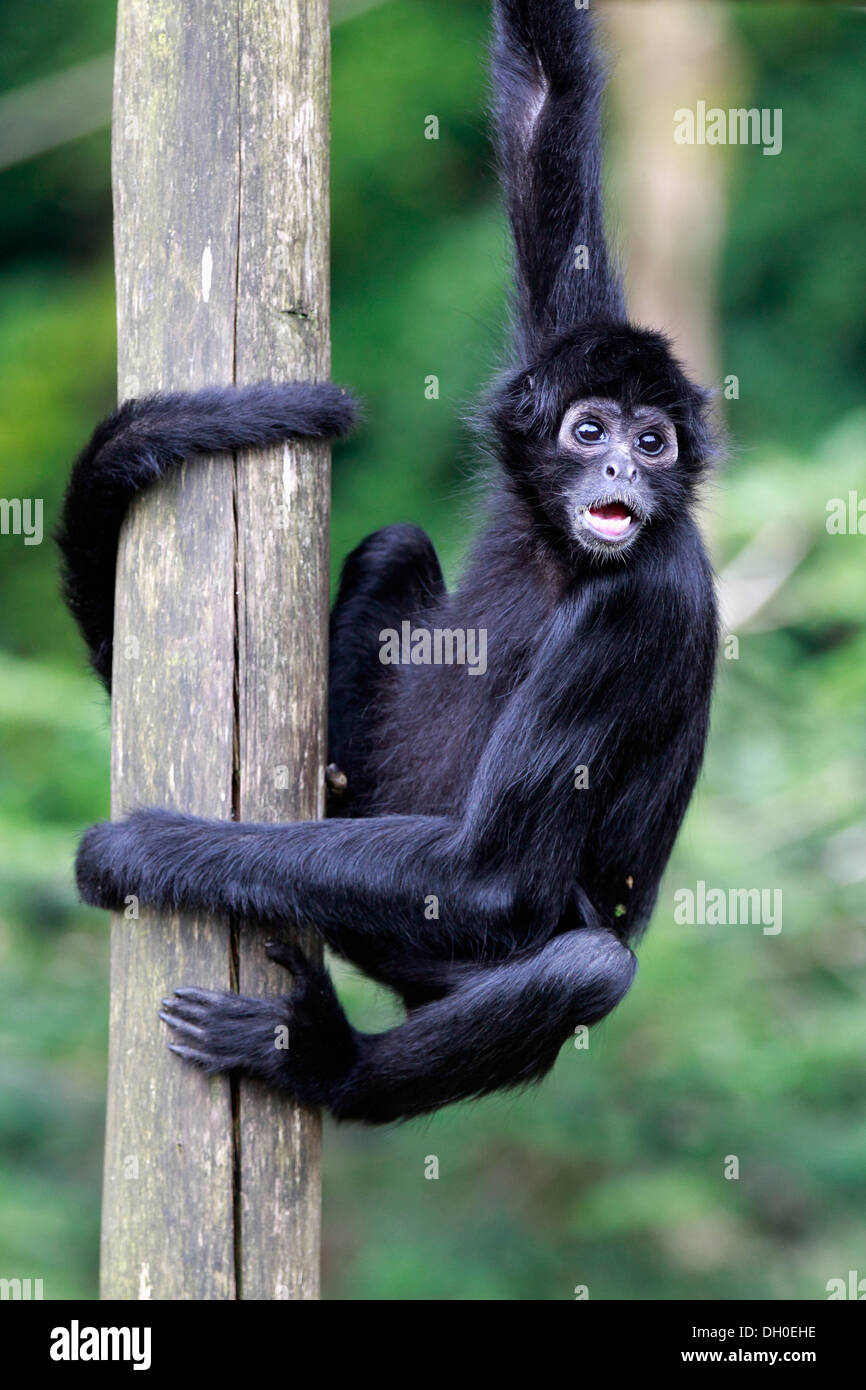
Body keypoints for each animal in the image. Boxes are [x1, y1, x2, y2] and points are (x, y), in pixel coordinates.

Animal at [56, 0, 719, 1125]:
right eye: (590, 430)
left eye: (655, 442)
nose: (624, 467)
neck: (563, 558)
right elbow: (547, 101)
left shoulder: (641, 601)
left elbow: (491, 872)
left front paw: (146, 848)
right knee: (394, 546)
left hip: (446, 951)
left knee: (586, 962)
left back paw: (322, 1061)